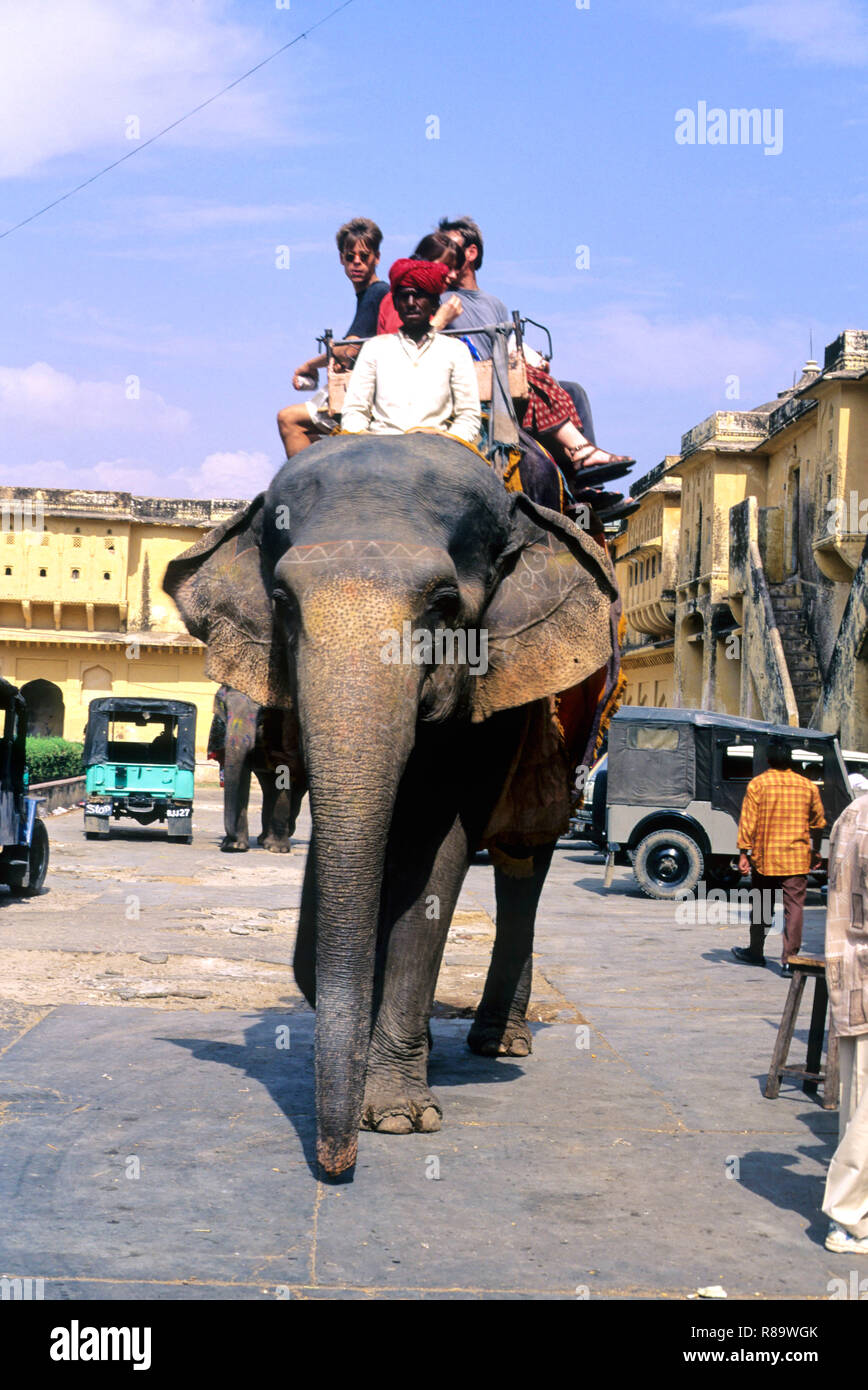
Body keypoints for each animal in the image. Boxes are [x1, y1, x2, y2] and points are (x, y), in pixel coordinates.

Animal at [207, 686, 306, 853]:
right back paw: (263, 839)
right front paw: (235, 846)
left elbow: (284, 772)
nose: (229, 836)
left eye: (262, 714)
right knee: (270, 789)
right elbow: (242, 776)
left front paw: (277, 849)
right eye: (225, 709)